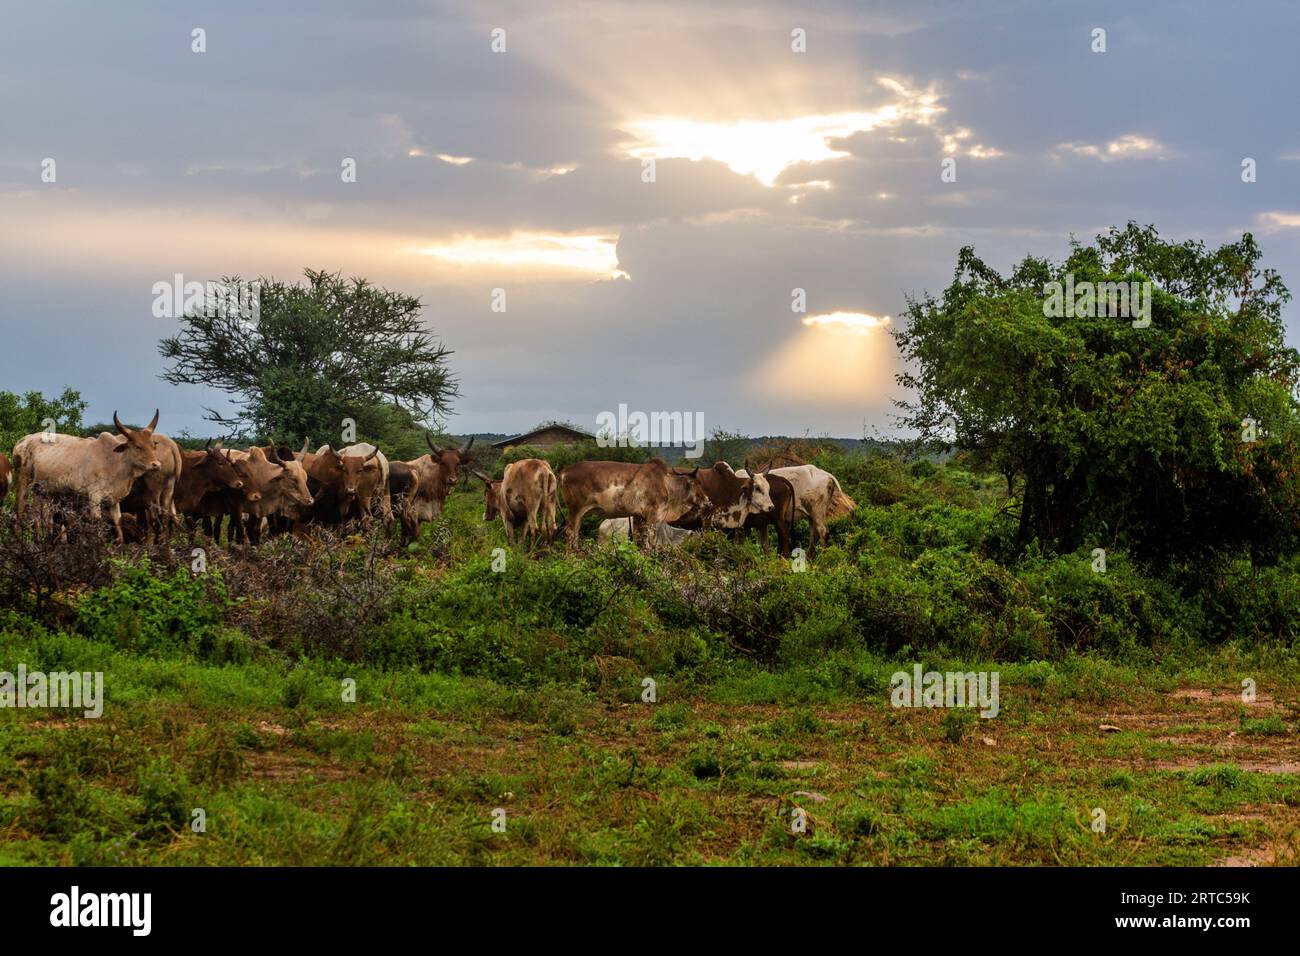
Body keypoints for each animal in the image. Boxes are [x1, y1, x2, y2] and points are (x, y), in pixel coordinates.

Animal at [12, 410, 162, 542]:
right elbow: (97, 523)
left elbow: (118, 525)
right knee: (19, 508)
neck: (114, 461)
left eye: (153, 446)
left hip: (42, 490)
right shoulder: (94, 497)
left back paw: (41, 539)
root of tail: (23, 440)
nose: (156, 464)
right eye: (137, 446)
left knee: (39, 512)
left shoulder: (114, 501)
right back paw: (19, 539)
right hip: (22, 481)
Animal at [558, 458, 712, 548]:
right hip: (575, 510)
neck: (666, 484)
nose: (707, 501)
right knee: (570, 533)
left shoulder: (638, 516)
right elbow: (650, 540)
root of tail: (565, 470)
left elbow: (639, 540)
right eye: (698, 483)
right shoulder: (653, 516)